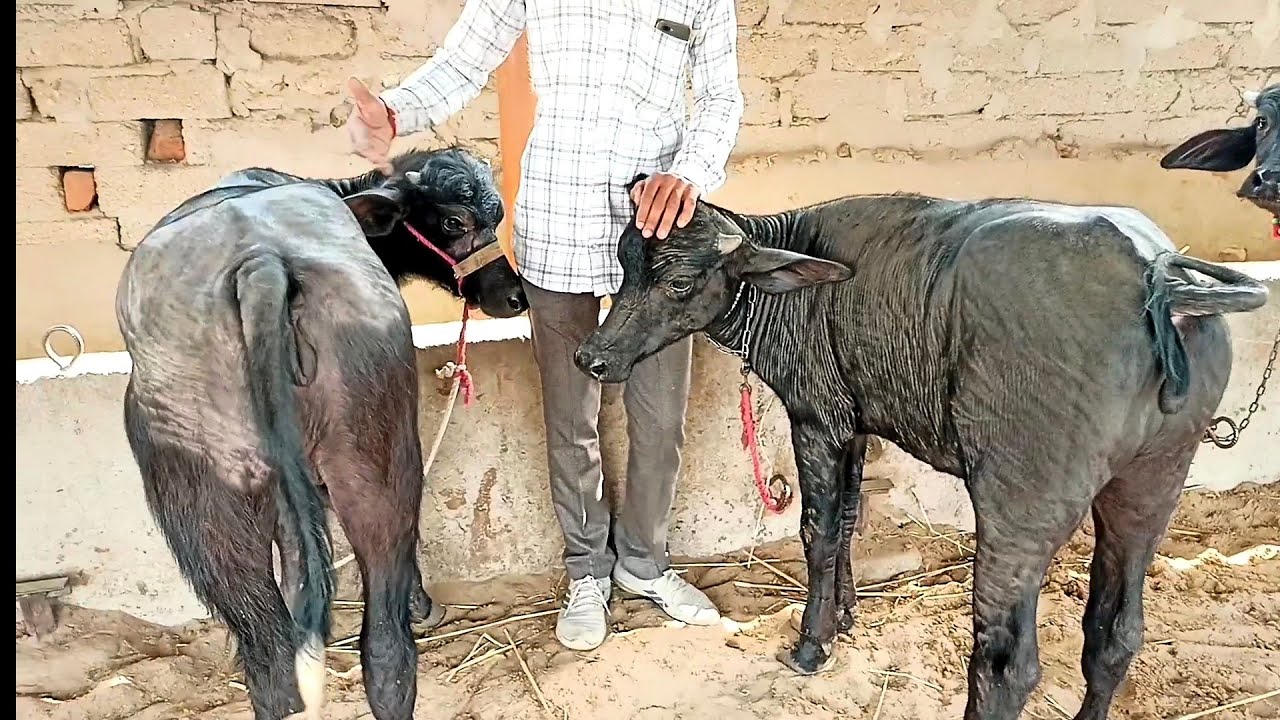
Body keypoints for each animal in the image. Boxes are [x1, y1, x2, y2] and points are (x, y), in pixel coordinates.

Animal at [573, 176, 1270, 720]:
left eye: (680, 281)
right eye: (625, 264)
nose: (592, 358)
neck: (800, 291)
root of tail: (1155, 270)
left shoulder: (816, 418)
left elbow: (817, 530)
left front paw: (812, 644)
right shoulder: (854, 422)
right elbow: (849, 520)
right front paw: (846, 616)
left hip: (1022, 499)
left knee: (1006, 664)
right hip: (1154, 479)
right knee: (1115, 633)